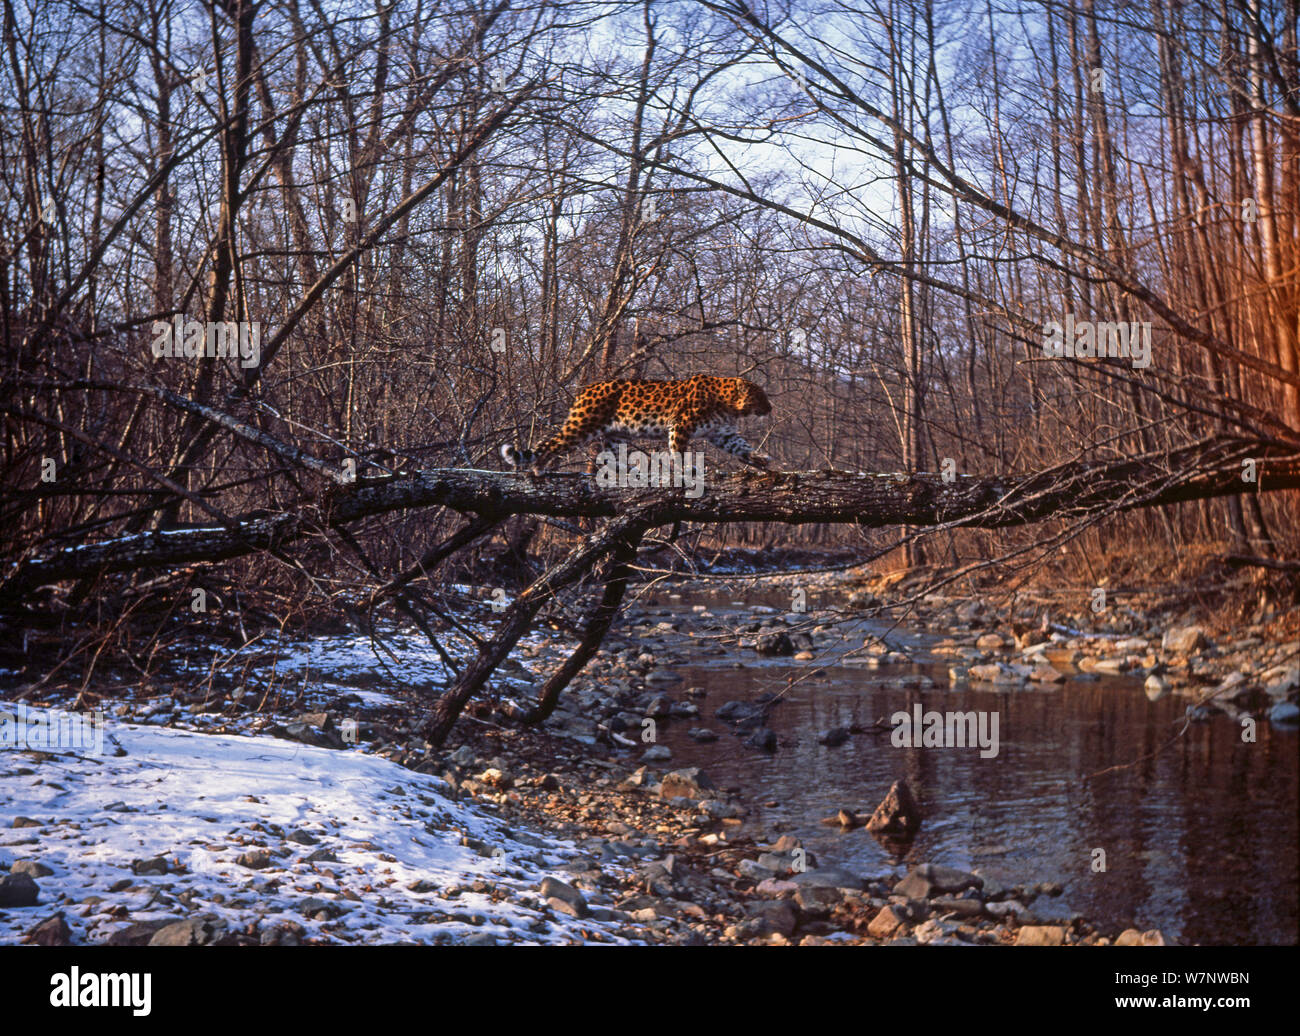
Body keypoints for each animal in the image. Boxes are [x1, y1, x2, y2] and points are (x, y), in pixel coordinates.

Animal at [500, 374, 773, 473]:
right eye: (761, 396)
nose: (771, 408)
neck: (729, 407)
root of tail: (585, 389)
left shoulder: (722, 433)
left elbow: (741, 447)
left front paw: (760, 460)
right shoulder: (681, 424)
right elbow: (678, 450)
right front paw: (688, 469)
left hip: (617, 433)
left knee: (608, 456)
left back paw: (627, 469)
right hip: (583, 424)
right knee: (551, 443)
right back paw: (539, 468)